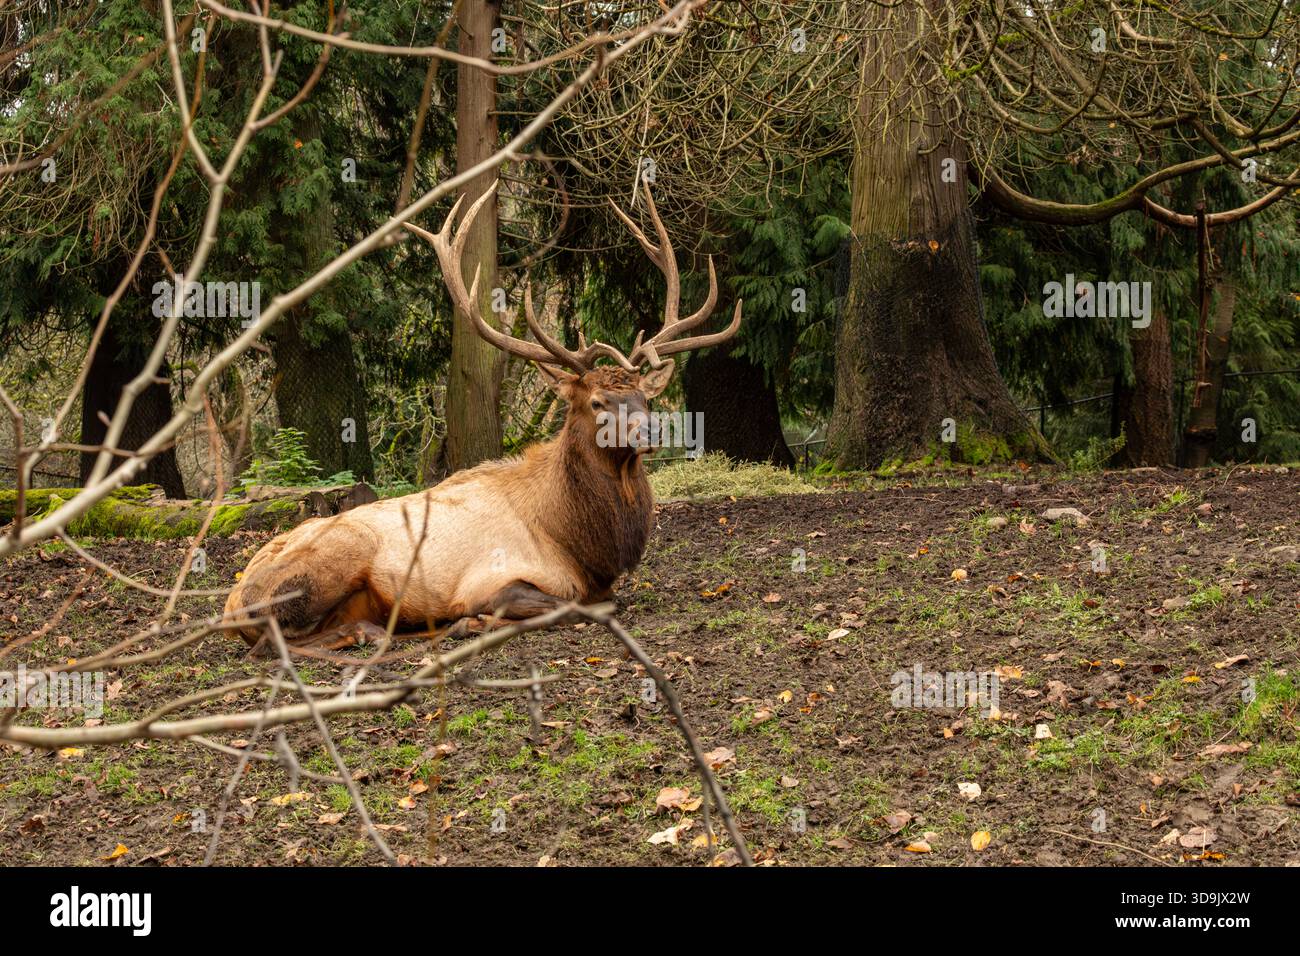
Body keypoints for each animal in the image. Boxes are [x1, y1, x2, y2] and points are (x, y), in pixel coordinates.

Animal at [223, 181, 741, 648]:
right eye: (597, 402)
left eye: (644, 398)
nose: (652, 430)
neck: (581, 546)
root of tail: (230, 604)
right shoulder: (495, 578)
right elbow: (580, 606)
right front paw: (467, 623)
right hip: (335, 557)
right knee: (272, 641)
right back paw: (371, 634)